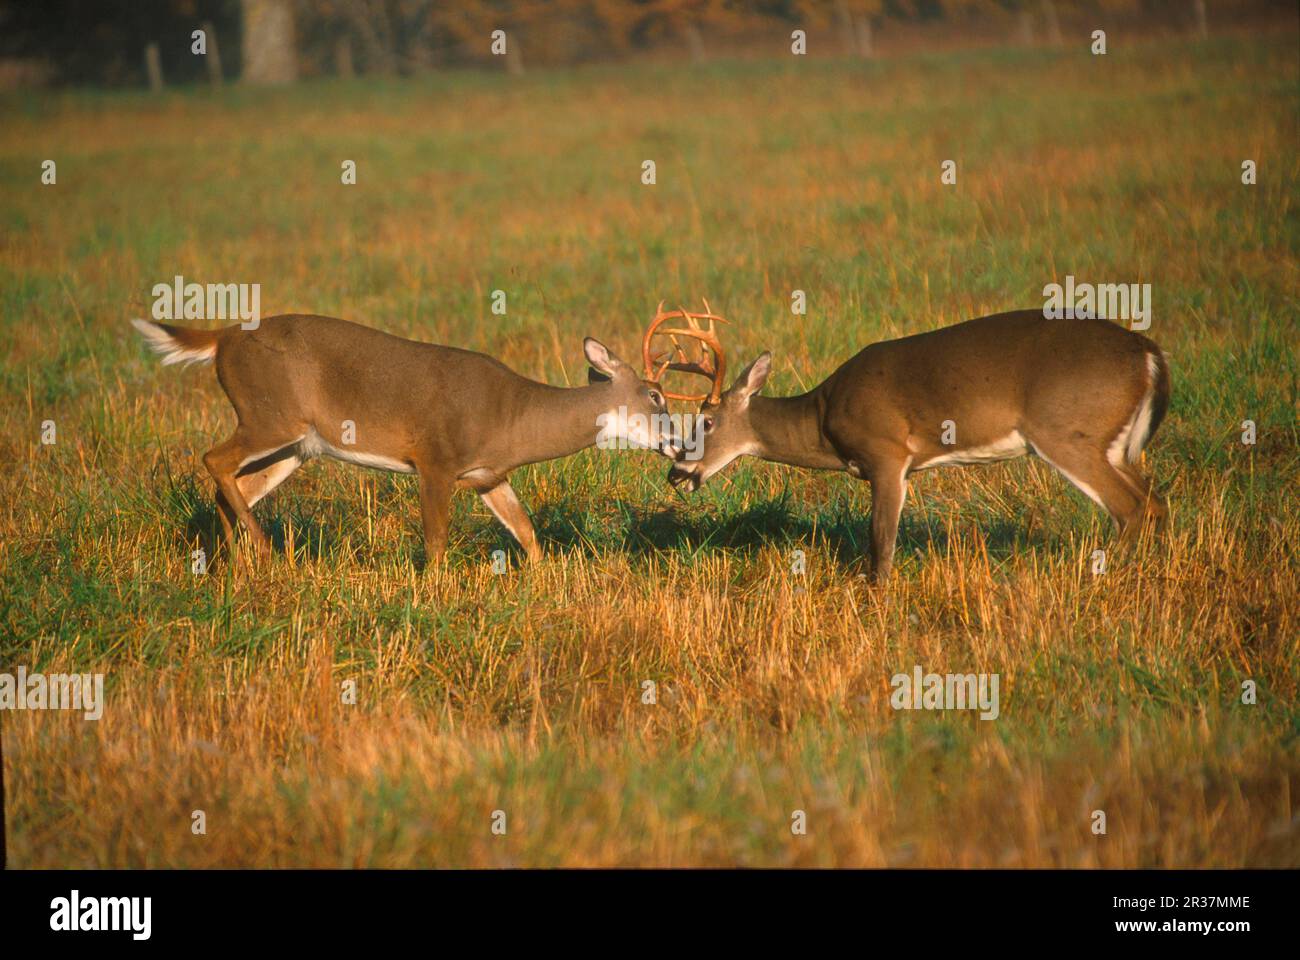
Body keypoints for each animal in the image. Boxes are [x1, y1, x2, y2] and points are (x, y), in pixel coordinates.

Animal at [132, 312, 682, 565]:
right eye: (655, 396)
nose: (678, 445)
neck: (512, 416)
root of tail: (222, 337)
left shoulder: (488, 475)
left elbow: (528, 534)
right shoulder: (436, 459)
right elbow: (436, 543)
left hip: (296, 445)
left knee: (235, 486)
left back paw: (232, 564)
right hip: (270, 415)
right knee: (214, 459)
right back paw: (264, 551)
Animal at [653, 308, 1171, 582]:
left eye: (707, 421)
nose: (676, 473)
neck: (823, 418)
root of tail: (1149, 355)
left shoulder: (887, 453)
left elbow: (880, 545)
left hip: (1067, 432)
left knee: (1131, 508)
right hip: (1114, 444)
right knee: (1155, 501)